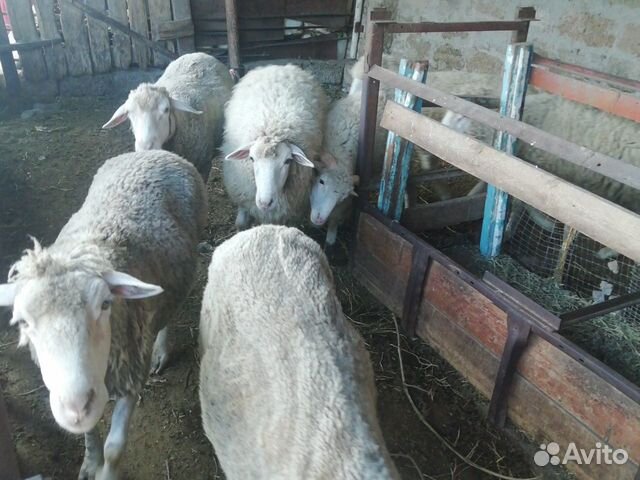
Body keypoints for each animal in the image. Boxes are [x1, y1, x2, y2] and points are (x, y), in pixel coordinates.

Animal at [0, 150, 207, 480]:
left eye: (106, 304)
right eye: (23, 322)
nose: (76, 406)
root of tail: (153, 153)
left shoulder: (132, 370)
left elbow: (115, 446)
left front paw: (106, 470)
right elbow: (90, 432)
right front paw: (89, 461)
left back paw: (162, 349)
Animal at [221, 64, 328, 228]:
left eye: (288, 161)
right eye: (251, 159)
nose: (265, 203)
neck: (272, 128)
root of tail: (279, 67)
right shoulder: (243, 193)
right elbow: (241, 223)